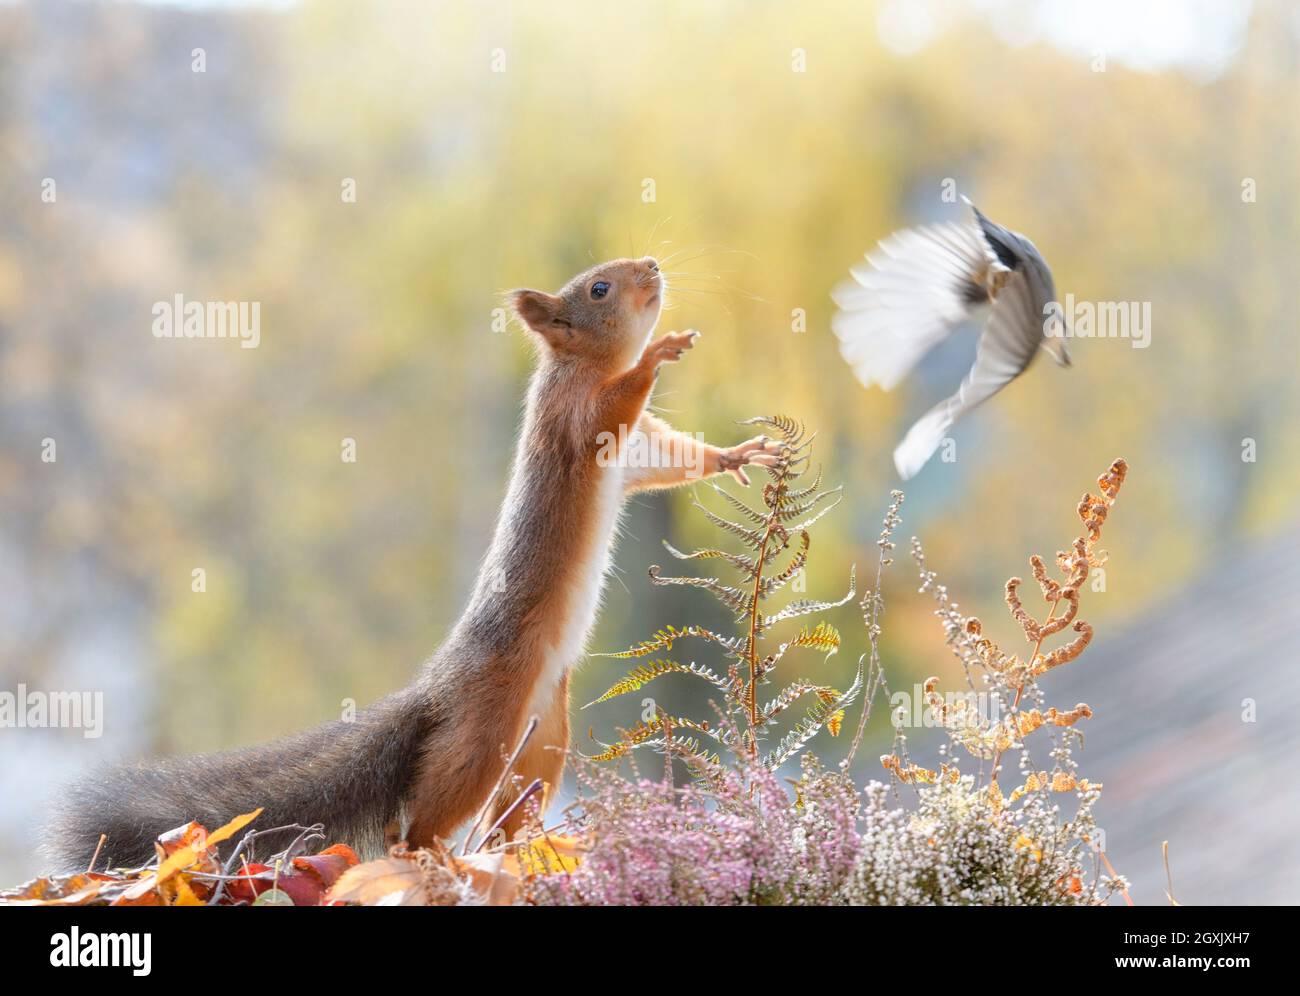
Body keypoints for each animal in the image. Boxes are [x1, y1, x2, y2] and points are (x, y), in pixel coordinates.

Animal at [45, 256, 780, 871]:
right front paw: (658, 352)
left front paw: (736, 455)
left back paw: (531, 853)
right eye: (599, 289)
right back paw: (437, 857)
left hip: (541, 745)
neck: (581, 365)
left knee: (507, 816)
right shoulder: (576, 419)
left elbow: (676, 457)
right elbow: (616, 401)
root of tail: (437, 690)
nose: (651, 265)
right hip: (483, 733)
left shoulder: (637, 454)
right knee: (419, 819)